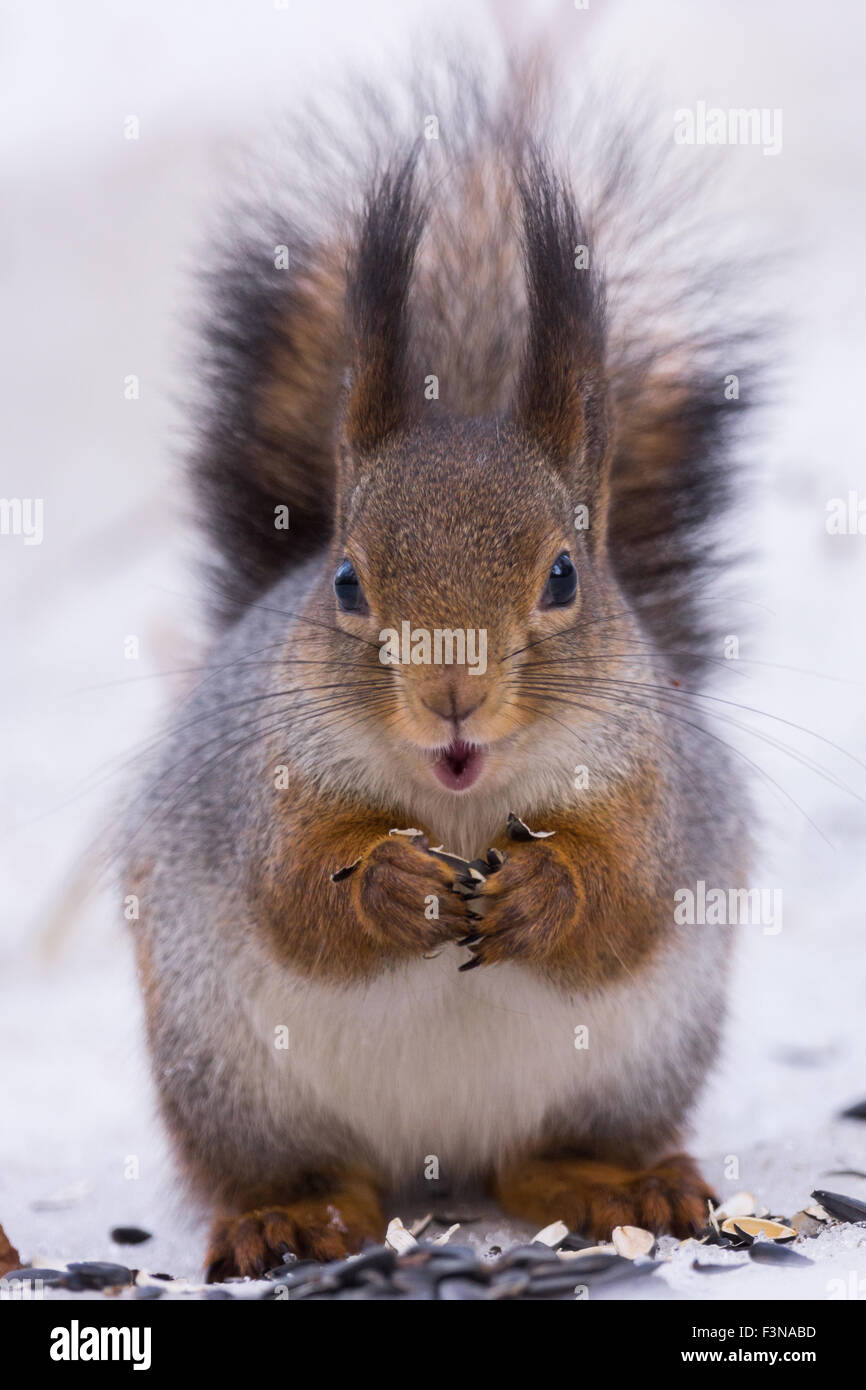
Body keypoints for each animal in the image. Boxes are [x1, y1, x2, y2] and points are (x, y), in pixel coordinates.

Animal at [124, 62, 754, 1279]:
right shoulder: (264, 788)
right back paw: (289, 1218)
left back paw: (620, 1185)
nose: (450, 693)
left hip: (636, 1064)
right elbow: (294, 897)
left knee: (539, 1161)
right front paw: (387, 884)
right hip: (228, 1077)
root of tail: (435, 1167)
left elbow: (626, 900)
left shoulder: (651, 790)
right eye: (344, 581)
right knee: (308, 1175)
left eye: (563, 575)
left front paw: (548, 889)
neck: (460, 805)